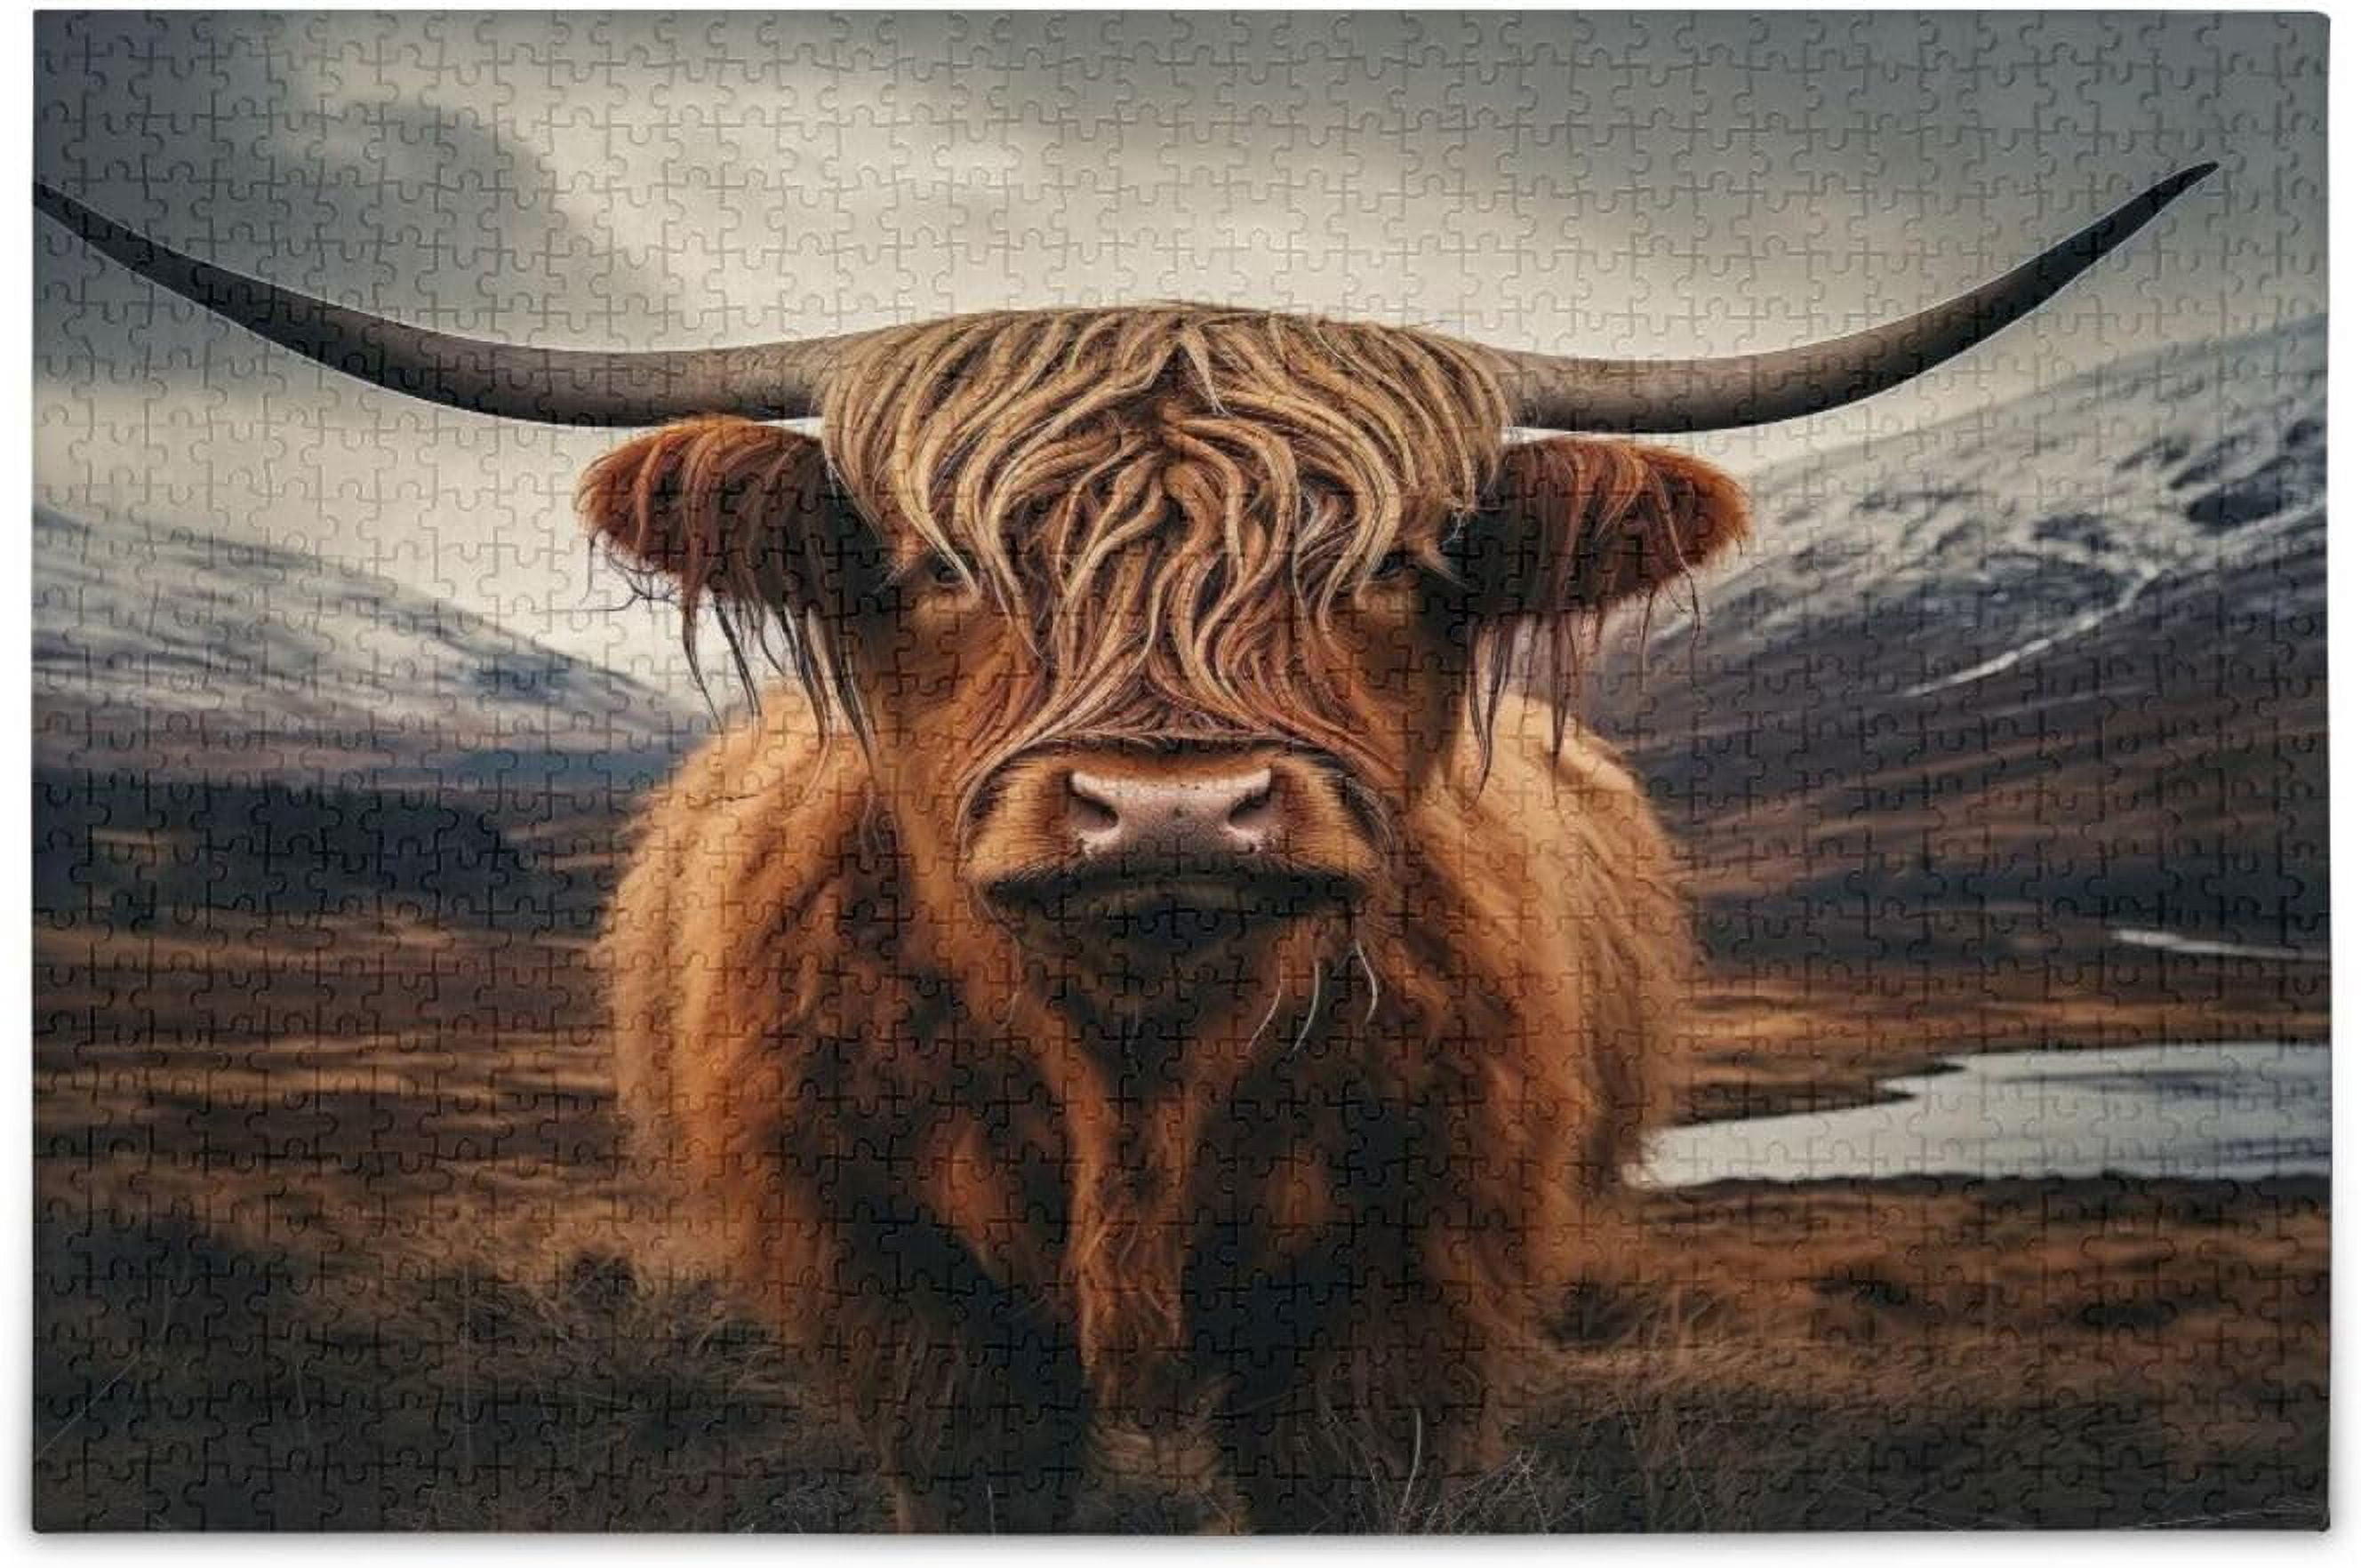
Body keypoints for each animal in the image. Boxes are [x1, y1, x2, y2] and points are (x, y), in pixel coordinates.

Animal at [36, 166, 2211, 1531]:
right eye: (933, 564)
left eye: (1397, 564)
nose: (1171, 807)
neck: (1137, 1074)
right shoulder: (910, 1319)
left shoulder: (1396, 1319)